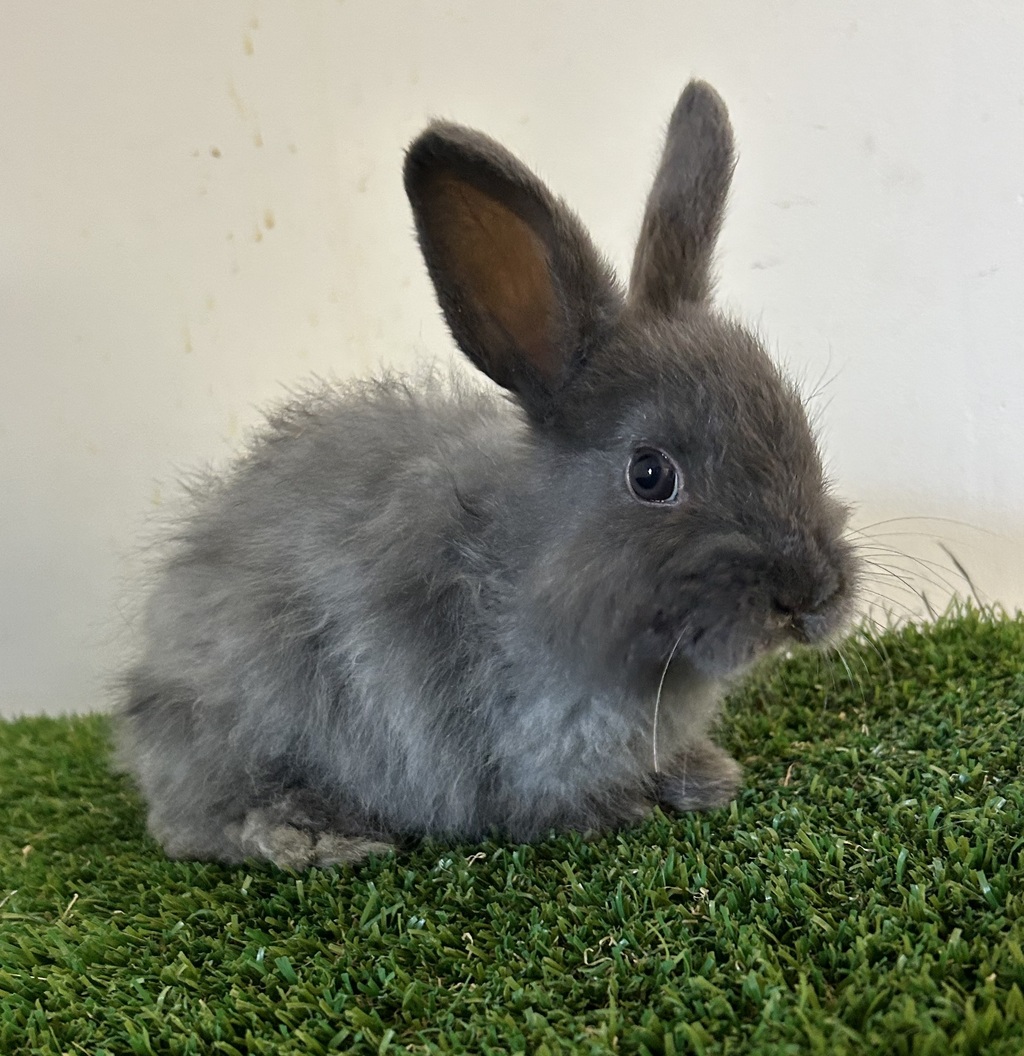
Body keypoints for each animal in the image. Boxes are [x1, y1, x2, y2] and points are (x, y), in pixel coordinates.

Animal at [117, 80, 860, 869]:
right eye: (651, 474)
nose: (811, 595)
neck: (523, 574)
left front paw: (708, 778)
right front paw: (627, 808)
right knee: (198, 821)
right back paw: (315, 834)